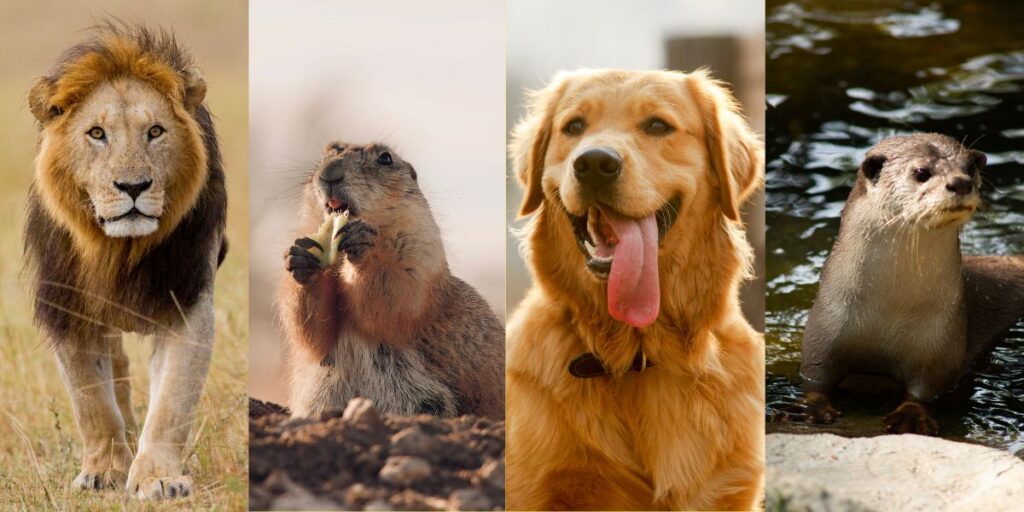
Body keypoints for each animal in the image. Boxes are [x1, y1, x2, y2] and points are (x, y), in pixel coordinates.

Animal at [22, 23, 227, 500]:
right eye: (97, 133)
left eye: (155, 131)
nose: (133, 186)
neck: (117, 250)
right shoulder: (67, 307)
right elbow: (91, 401)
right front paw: (103, 471)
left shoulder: (187, 301)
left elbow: (171, 401)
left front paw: (158, 478)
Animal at [278, 142, 504, 419]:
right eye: (328, 151)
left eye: (385, 158)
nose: (329, 173)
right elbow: (314, 332)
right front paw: (301, 258)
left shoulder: (422, 250)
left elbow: (398, 293)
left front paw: (363, 244)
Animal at [797, 133, 1024, 435]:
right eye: (921, 172)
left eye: (969, 169)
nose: (960, 182)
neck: (888, 309)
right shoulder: (825, 326)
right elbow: (816, 378)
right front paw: (812, 409)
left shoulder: (939, 344)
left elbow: (923, 391)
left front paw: (911, 416)